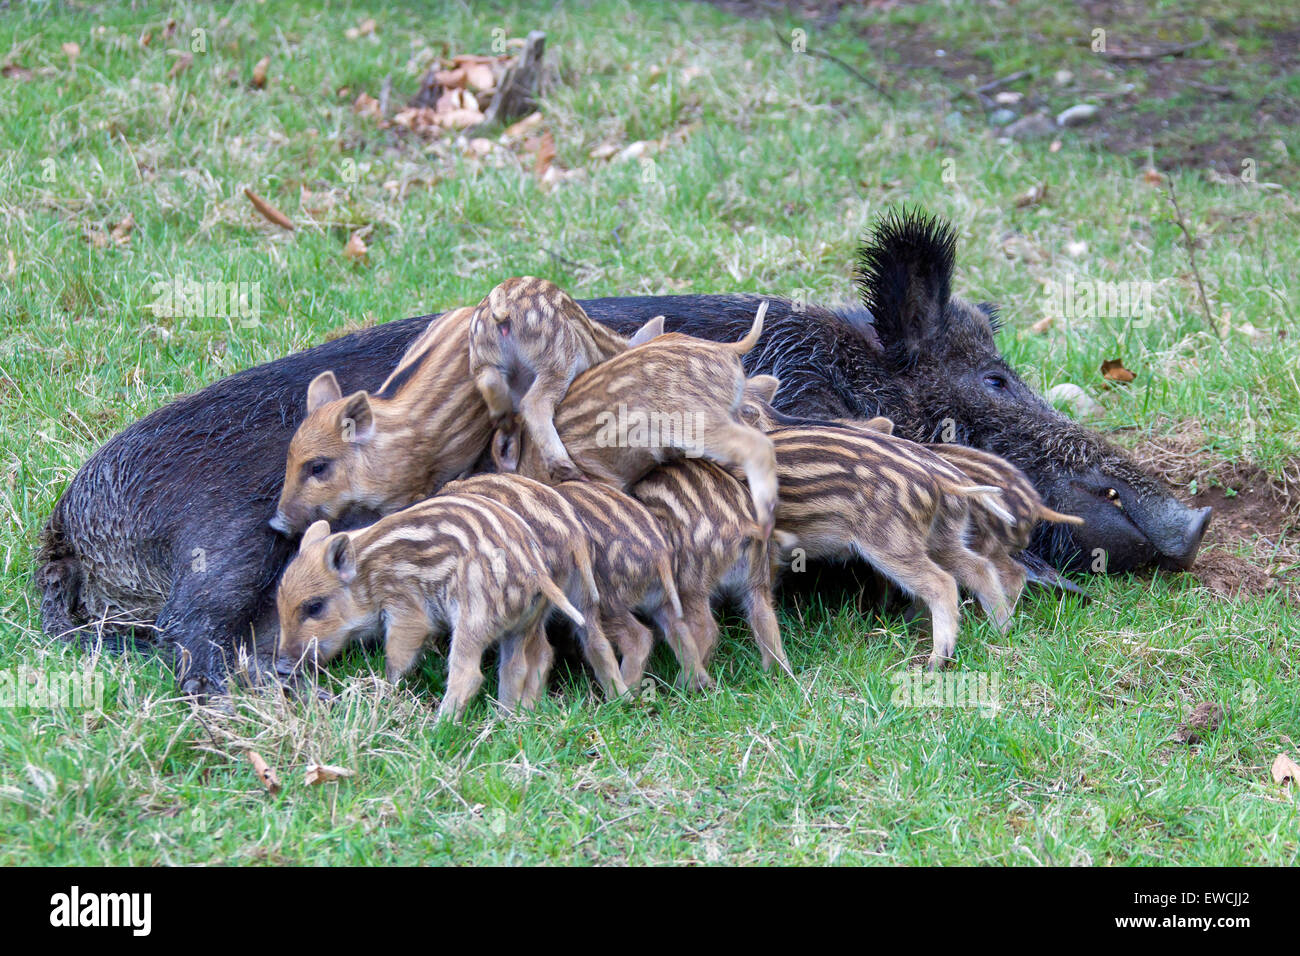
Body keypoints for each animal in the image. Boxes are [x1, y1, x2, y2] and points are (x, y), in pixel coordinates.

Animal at [36, 208, 1211, 694]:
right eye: (996, 381)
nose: (1196, 518)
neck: (836, 375)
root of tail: (64, 515)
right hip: (226, 539)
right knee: (195, 644)